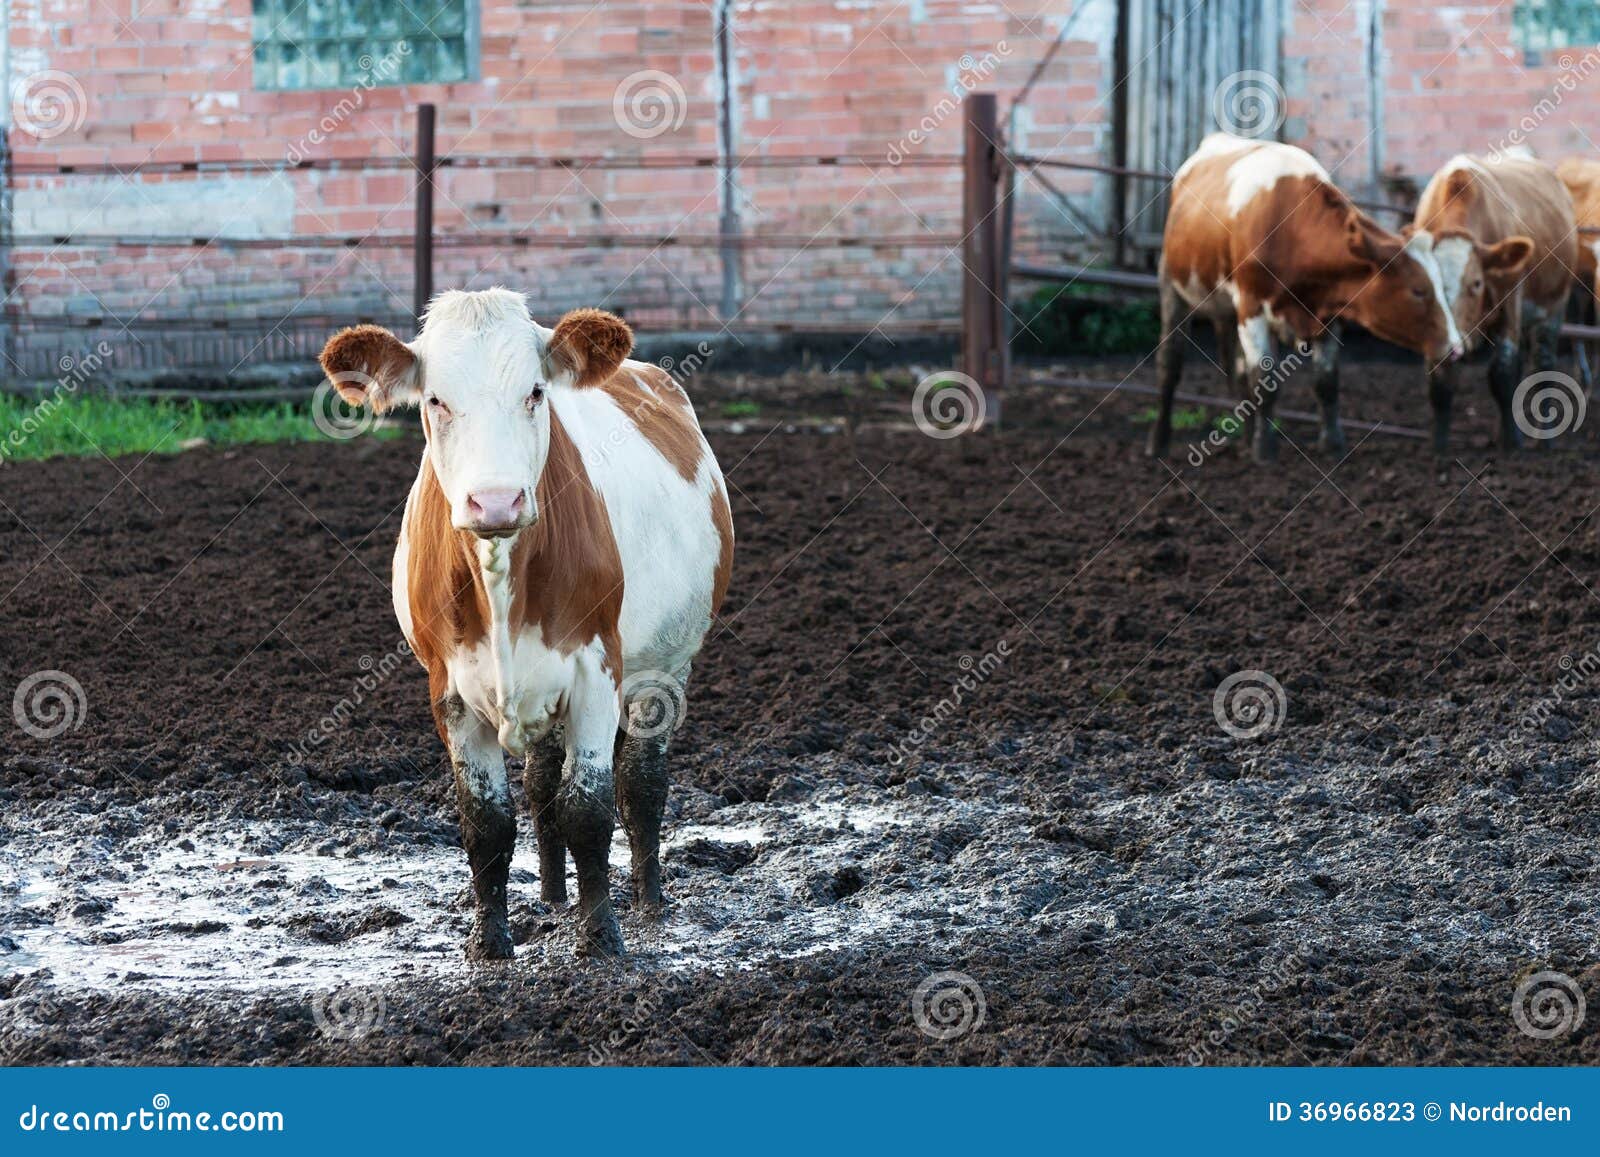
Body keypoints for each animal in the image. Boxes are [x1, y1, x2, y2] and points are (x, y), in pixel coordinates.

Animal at [318, 289, 734, 959]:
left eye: (536, 392)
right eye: (435, 399)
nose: (495, 501)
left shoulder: (597, 673)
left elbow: (588, 809)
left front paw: (600, 937)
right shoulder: (448, 689)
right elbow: (486, 822)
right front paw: (489, 944)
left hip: (664, 670)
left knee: (641, 786)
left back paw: (648, 902)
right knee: (541, 786)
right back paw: (551, 896)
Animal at [1150, 132, 1465, 464]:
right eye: (1418, 290)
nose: (1456, 348)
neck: (1290, 229)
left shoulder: (1330, 314)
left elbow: (1326, 380)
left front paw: (1332, 443)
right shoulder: (1251, 308)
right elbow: (1264, 381)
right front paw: (1264, 450)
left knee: (1237, 372)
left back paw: (1245, 438)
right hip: (1171, 285)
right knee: (1169, 365)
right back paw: (1158, 443)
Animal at [1413, 154, 1570, 452]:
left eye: (1476, 283)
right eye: (1427, 285)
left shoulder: (1511, 303)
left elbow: (1503, 373)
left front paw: (1512, 444)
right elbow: (1439, 382)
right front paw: (1438, 446)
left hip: (1553, 306)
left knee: (1543, 364)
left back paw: (1543, 440)